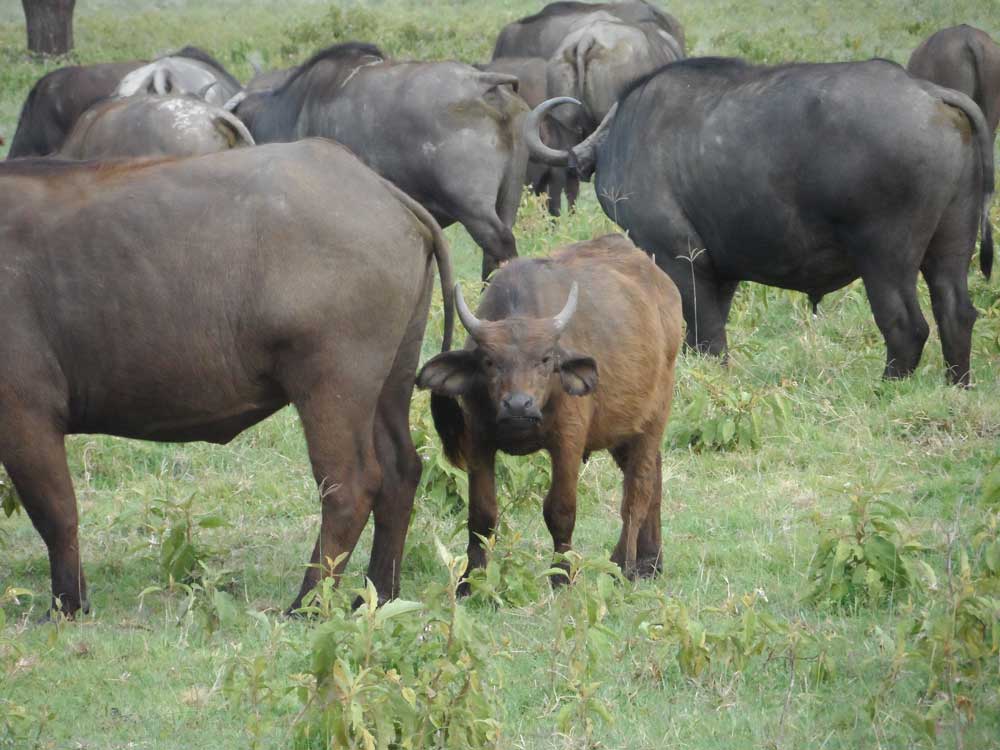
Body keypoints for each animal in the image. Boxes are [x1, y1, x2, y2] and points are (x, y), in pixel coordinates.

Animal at [0, 139, 455, 616]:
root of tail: (384, 192)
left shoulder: (24, 414)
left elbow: (56, 513)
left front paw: (67, 605)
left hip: (332, 386)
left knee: (349, 485)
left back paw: (308, 603)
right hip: (390, 382)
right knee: (401, 471)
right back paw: (379, 593)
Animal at [416, 234, 682, 586]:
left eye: (545, 360)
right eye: (489, 361)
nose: (518, 404)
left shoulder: (568, 441)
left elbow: (560, 510)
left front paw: (561, 576)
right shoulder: (478, 440)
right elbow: (481, 513)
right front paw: (470, 580)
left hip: (653, 418)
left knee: (638, 490)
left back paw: (623, 563)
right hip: (621, 427)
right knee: (654, 478)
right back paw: (650, 560)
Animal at [524, 58, 995, 385]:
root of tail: (931, 94)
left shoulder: (680, 259)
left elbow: (705, 332)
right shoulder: (722, 272)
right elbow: (709, 330)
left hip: (885, 258)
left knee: (906, 325)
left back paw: (887, 386)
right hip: (951, 245)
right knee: (956, 313)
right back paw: (956, 385)